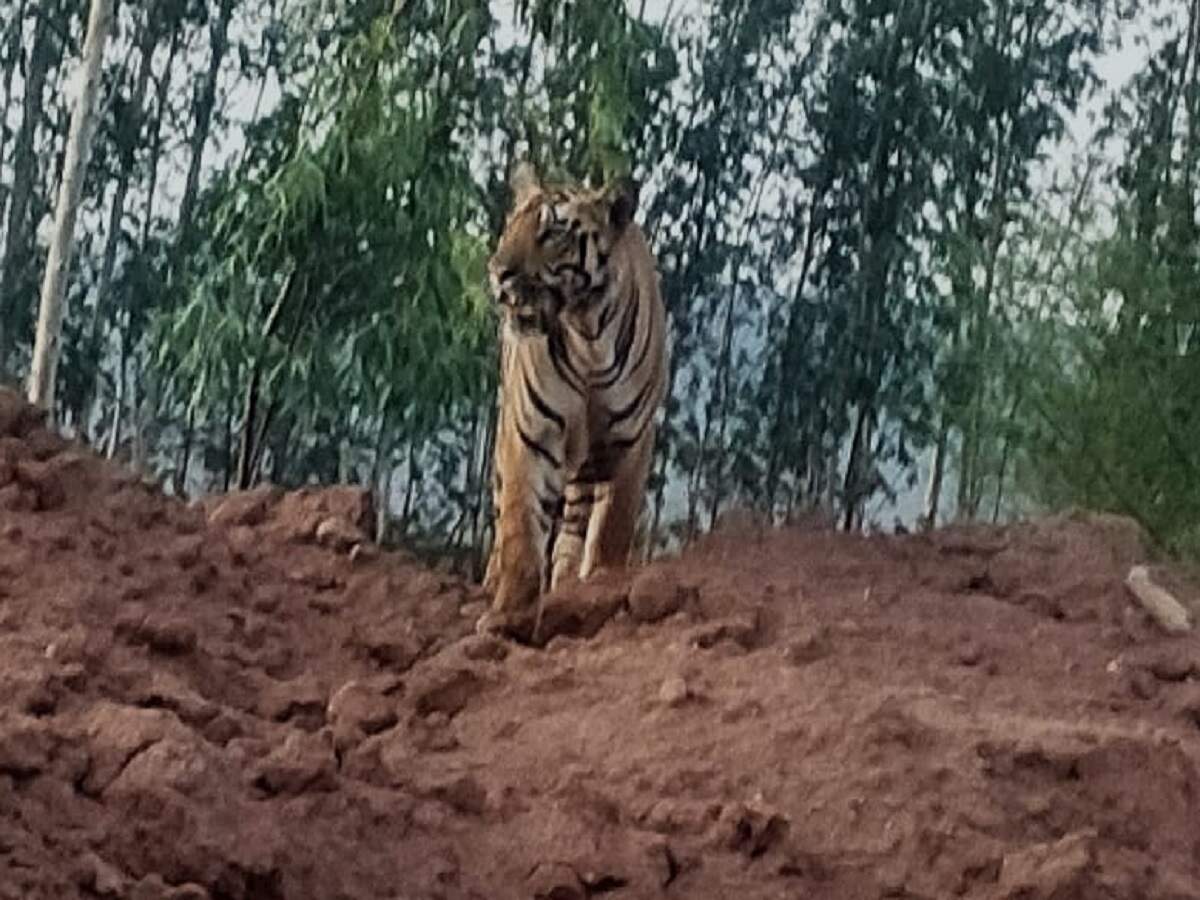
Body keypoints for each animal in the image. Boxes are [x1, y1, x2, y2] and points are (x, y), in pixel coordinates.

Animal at [476, 161, 667, 637]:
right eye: (511, 225)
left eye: (553, 232)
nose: (497, 271)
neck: (588, 338)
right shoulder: (530, 433)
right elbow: (520, 532)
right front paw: (507, 618)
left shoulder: (630, 442)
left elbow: (611, 528)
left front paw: (602, 586)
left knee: (577, 522)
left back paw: (569, 583)